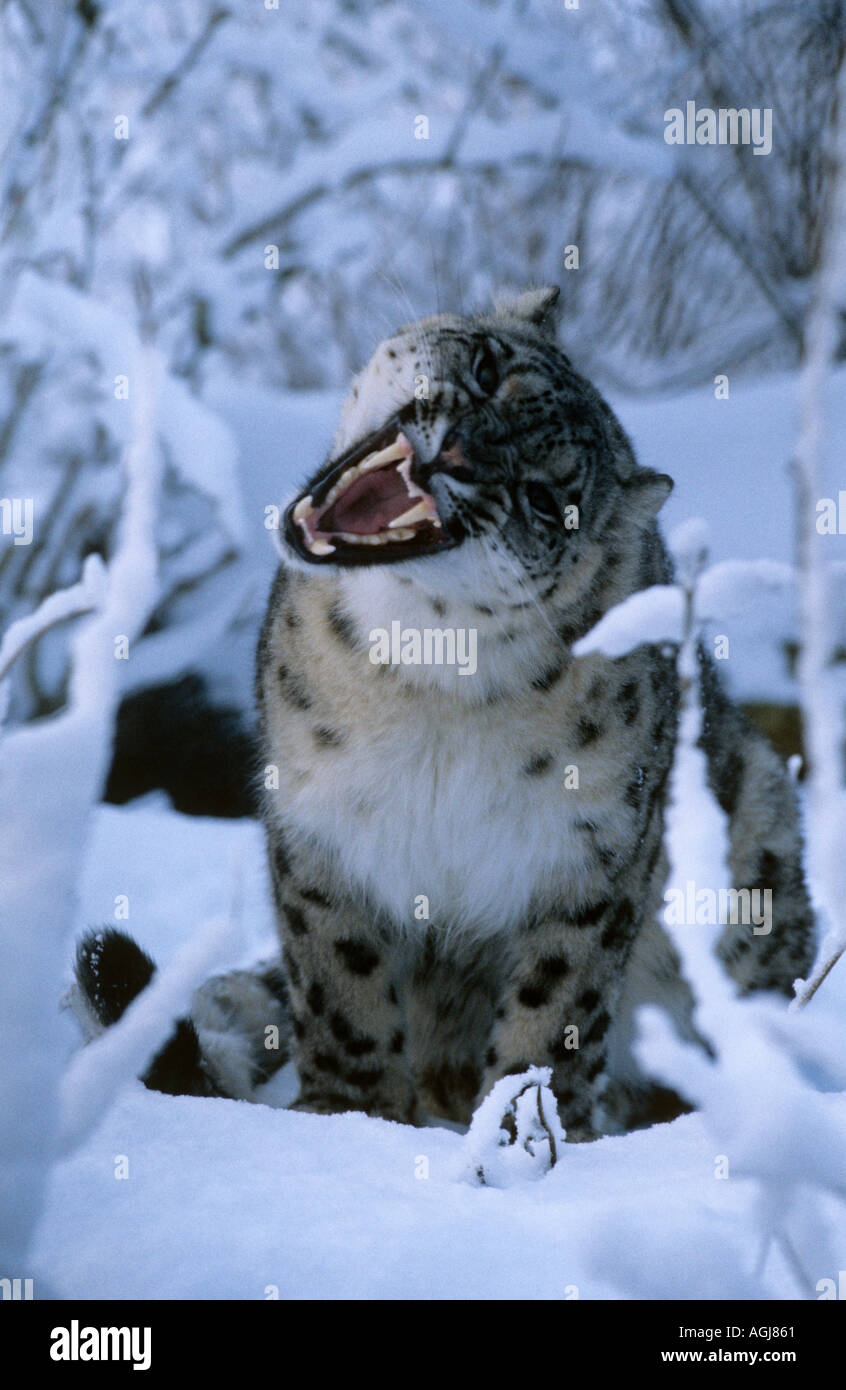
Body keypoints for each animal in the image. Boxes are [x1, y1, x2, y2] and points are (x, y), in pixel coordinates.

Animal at [74, 287, 816, 1140]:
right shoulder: (322, 826)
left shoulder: (592, 853)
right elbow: (342, 981)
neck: (429, 683)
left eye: (544, 499)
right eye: (489, 368)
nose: (454, 453)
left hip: (760, 832)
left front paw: (528, 1128)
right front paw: (348, 1115)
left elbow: (558, 1003)